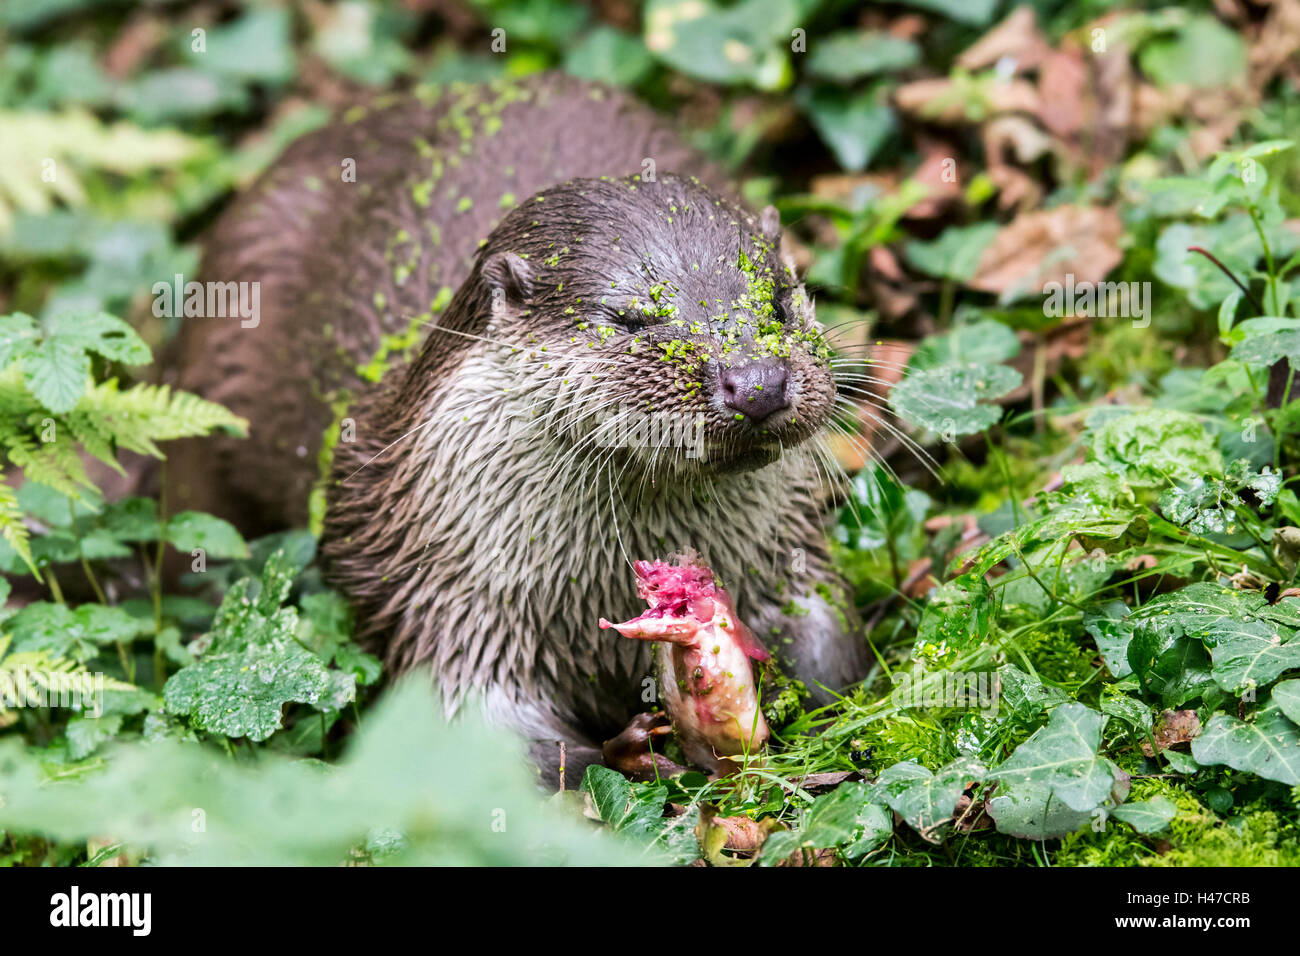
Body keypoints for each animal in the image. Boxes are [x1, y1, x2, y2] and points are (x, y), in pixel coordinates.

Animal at [169, 73, 867, 781]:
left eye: (777, 299)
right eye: (629, 320)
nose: (757, 382)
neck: (592, 591)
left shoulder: (788, 548)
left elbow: (834, 649)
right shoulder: (440, 597)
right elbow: (484, 737)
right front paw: (627, 754)